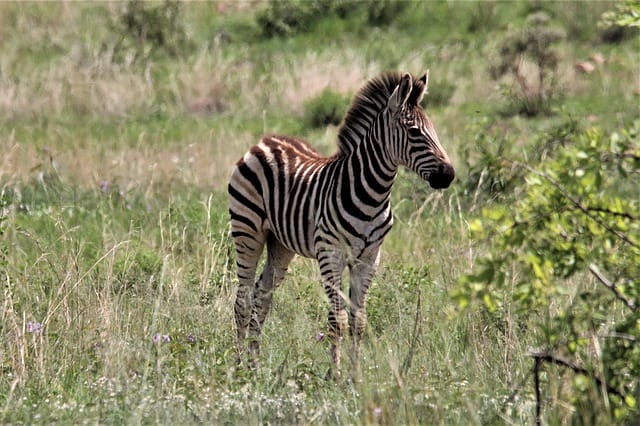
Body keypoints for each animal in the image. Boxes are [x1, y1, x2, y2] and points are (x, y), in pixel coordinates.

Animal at [228, 71, 454, 374]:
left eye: (434, 130)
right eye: (415, 132)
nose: (449, 174)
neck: (372, 195)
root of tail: (265, 141)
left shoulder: (369, 258)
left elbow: (358, 321)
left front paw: (354, 375)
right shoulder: (330, 253)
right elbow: (338, 319)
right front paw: (334, 375)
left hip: (280, 244)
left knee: (262, 296)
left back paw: (255, 365)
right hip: (247, 231)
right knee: (242, 300)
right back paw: (239, 368)